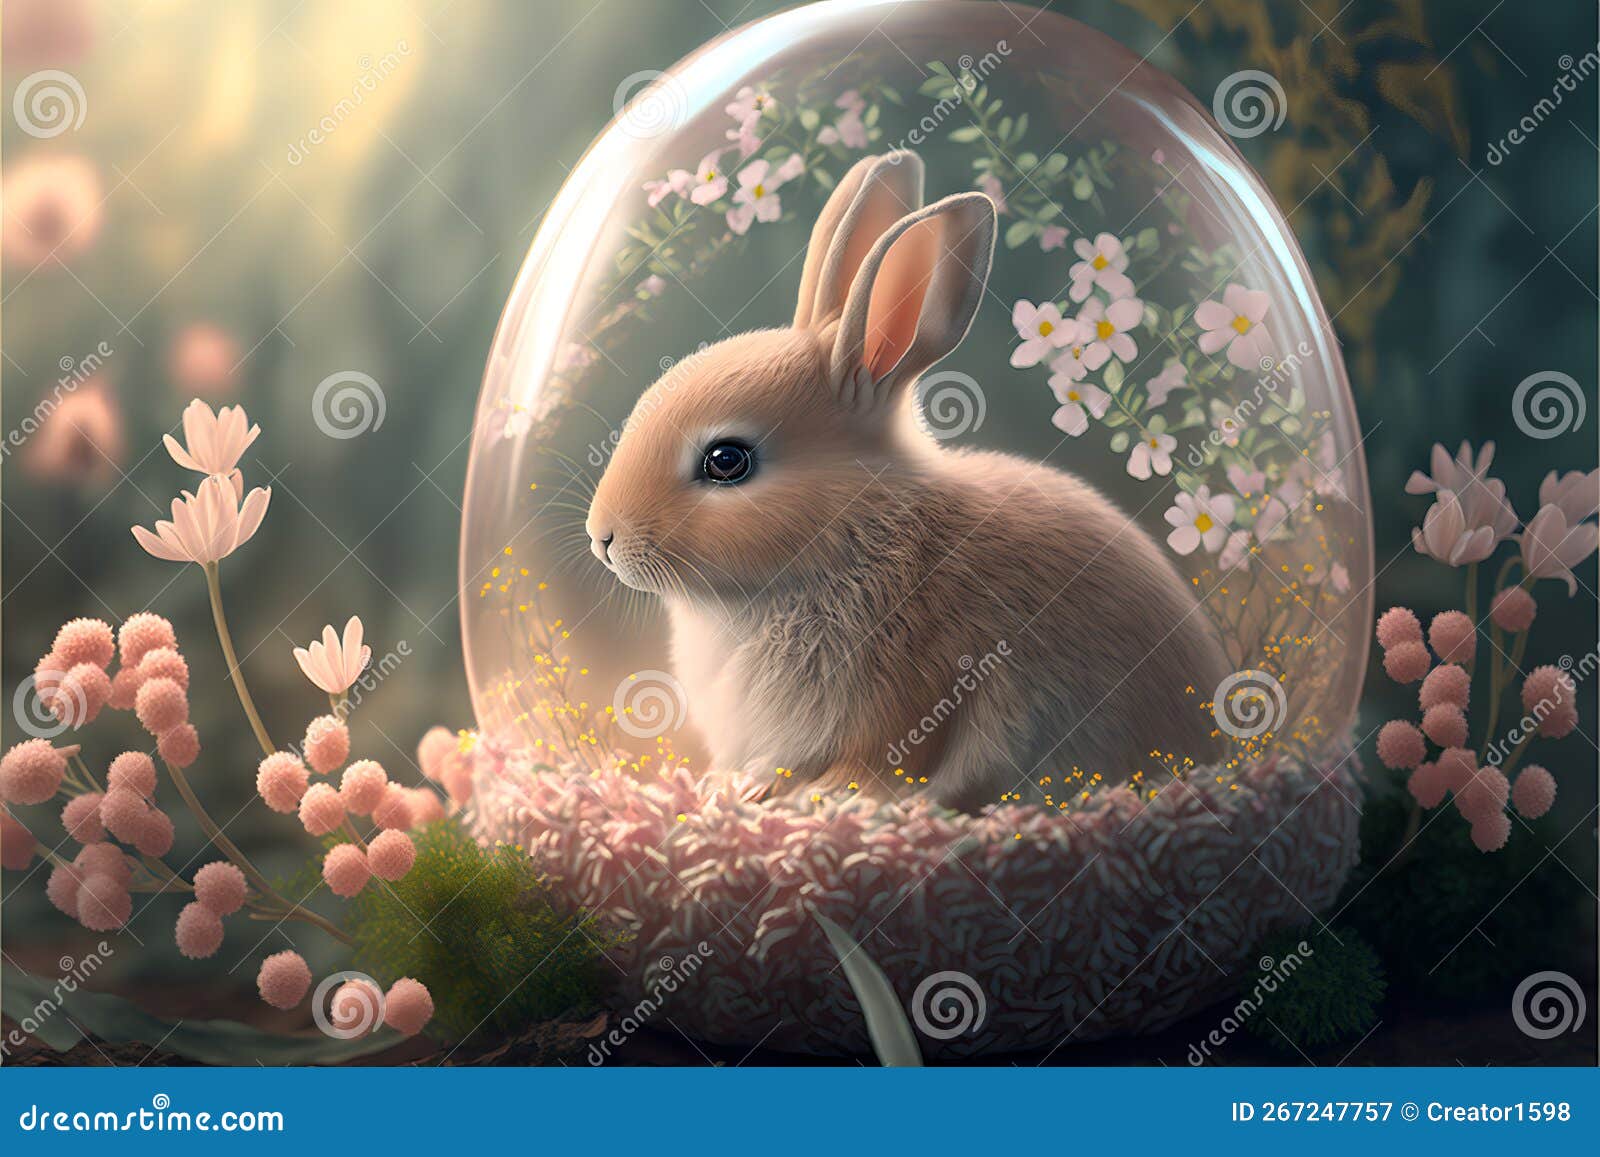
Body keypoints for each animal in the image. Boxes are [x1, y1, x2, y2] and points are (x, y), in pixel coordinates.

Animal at [585, 149, 1230, 811]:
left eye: (726, 461)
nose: (602, 537)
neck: (850, 536)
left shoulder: (913, 693)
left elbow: (879, 763)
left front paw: (799, 796)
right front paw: (727, 787)